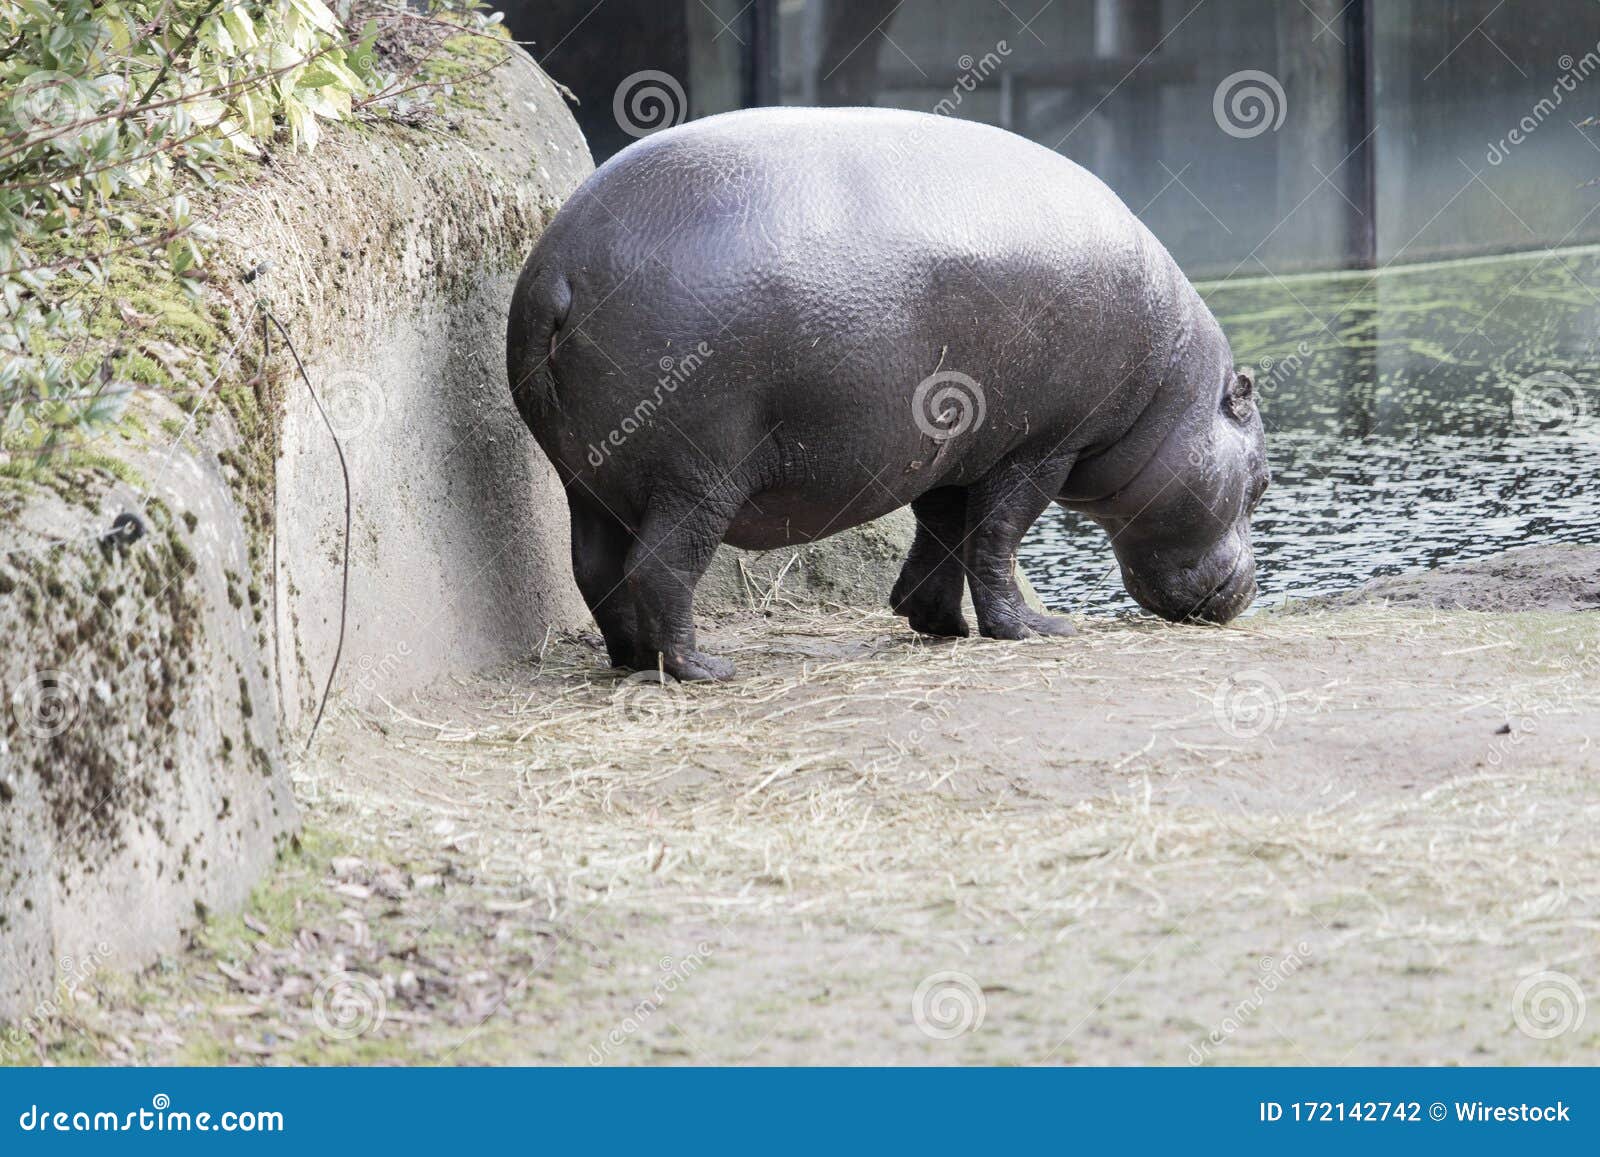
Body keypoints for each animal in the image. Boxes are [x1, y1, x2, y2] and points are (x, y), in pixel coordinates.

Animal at [507, 107, 1268, 680]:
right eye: (1261, 484)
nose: (1250, 589)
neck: (1172, 387)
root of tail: (559, 269)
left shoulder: (953, 452)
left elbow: (943, 536)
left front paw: (938, 623)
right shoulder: (1041, 447)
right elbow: (996, 539)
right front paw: (1035, 628)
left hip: (590, 479)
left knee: (596, 567)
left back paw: (633, 660)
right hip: (696, 474)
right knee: (658, 567)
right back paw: (701, 668)